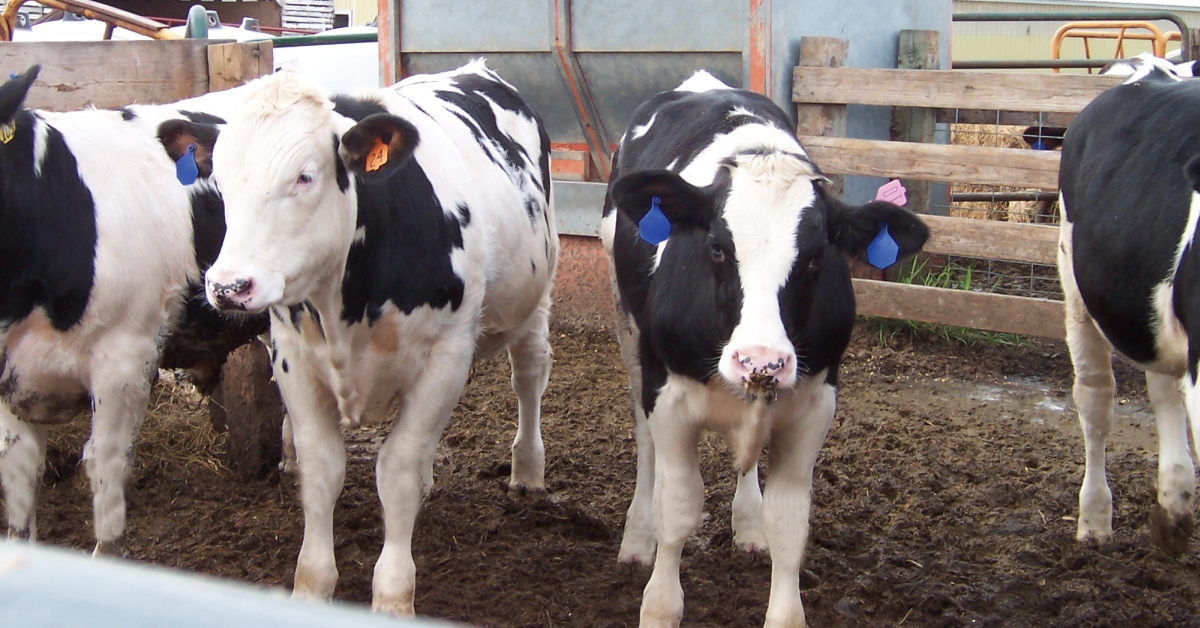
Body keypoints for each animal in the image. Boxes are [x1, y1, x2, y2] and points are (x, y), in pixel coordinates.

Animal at [202, 62, 557, 615]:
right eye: (217, 181)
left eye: (305, 176)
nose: (228, 287)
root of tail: (475, 68)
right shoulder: (293, 357)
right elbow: (323, 469)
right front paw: (312, 585)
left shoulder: (445, 356)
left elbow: (396, 469)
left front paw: (392, 595)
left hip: (533, 300)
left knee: (529, 377)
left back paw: (527, 470)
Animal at [601, 71, 929, 627]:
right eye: (716, 247)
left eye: (817, 257)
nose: (760, 360)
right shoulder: (668, 397)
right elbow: (678, 508)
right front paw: (659, 604)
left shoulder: (815, 402)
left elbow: (789, 523)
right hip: (630, 335)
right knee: (645, 445)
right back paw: (637, 537)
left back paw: (747, 524)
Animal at [1058, 58, 1200, 557]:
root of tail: (1149, 66)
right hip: (1078, 292)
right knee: (1096, 400)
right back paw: (1094, 521)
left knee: (1162, 389)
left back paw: (1173, 504)